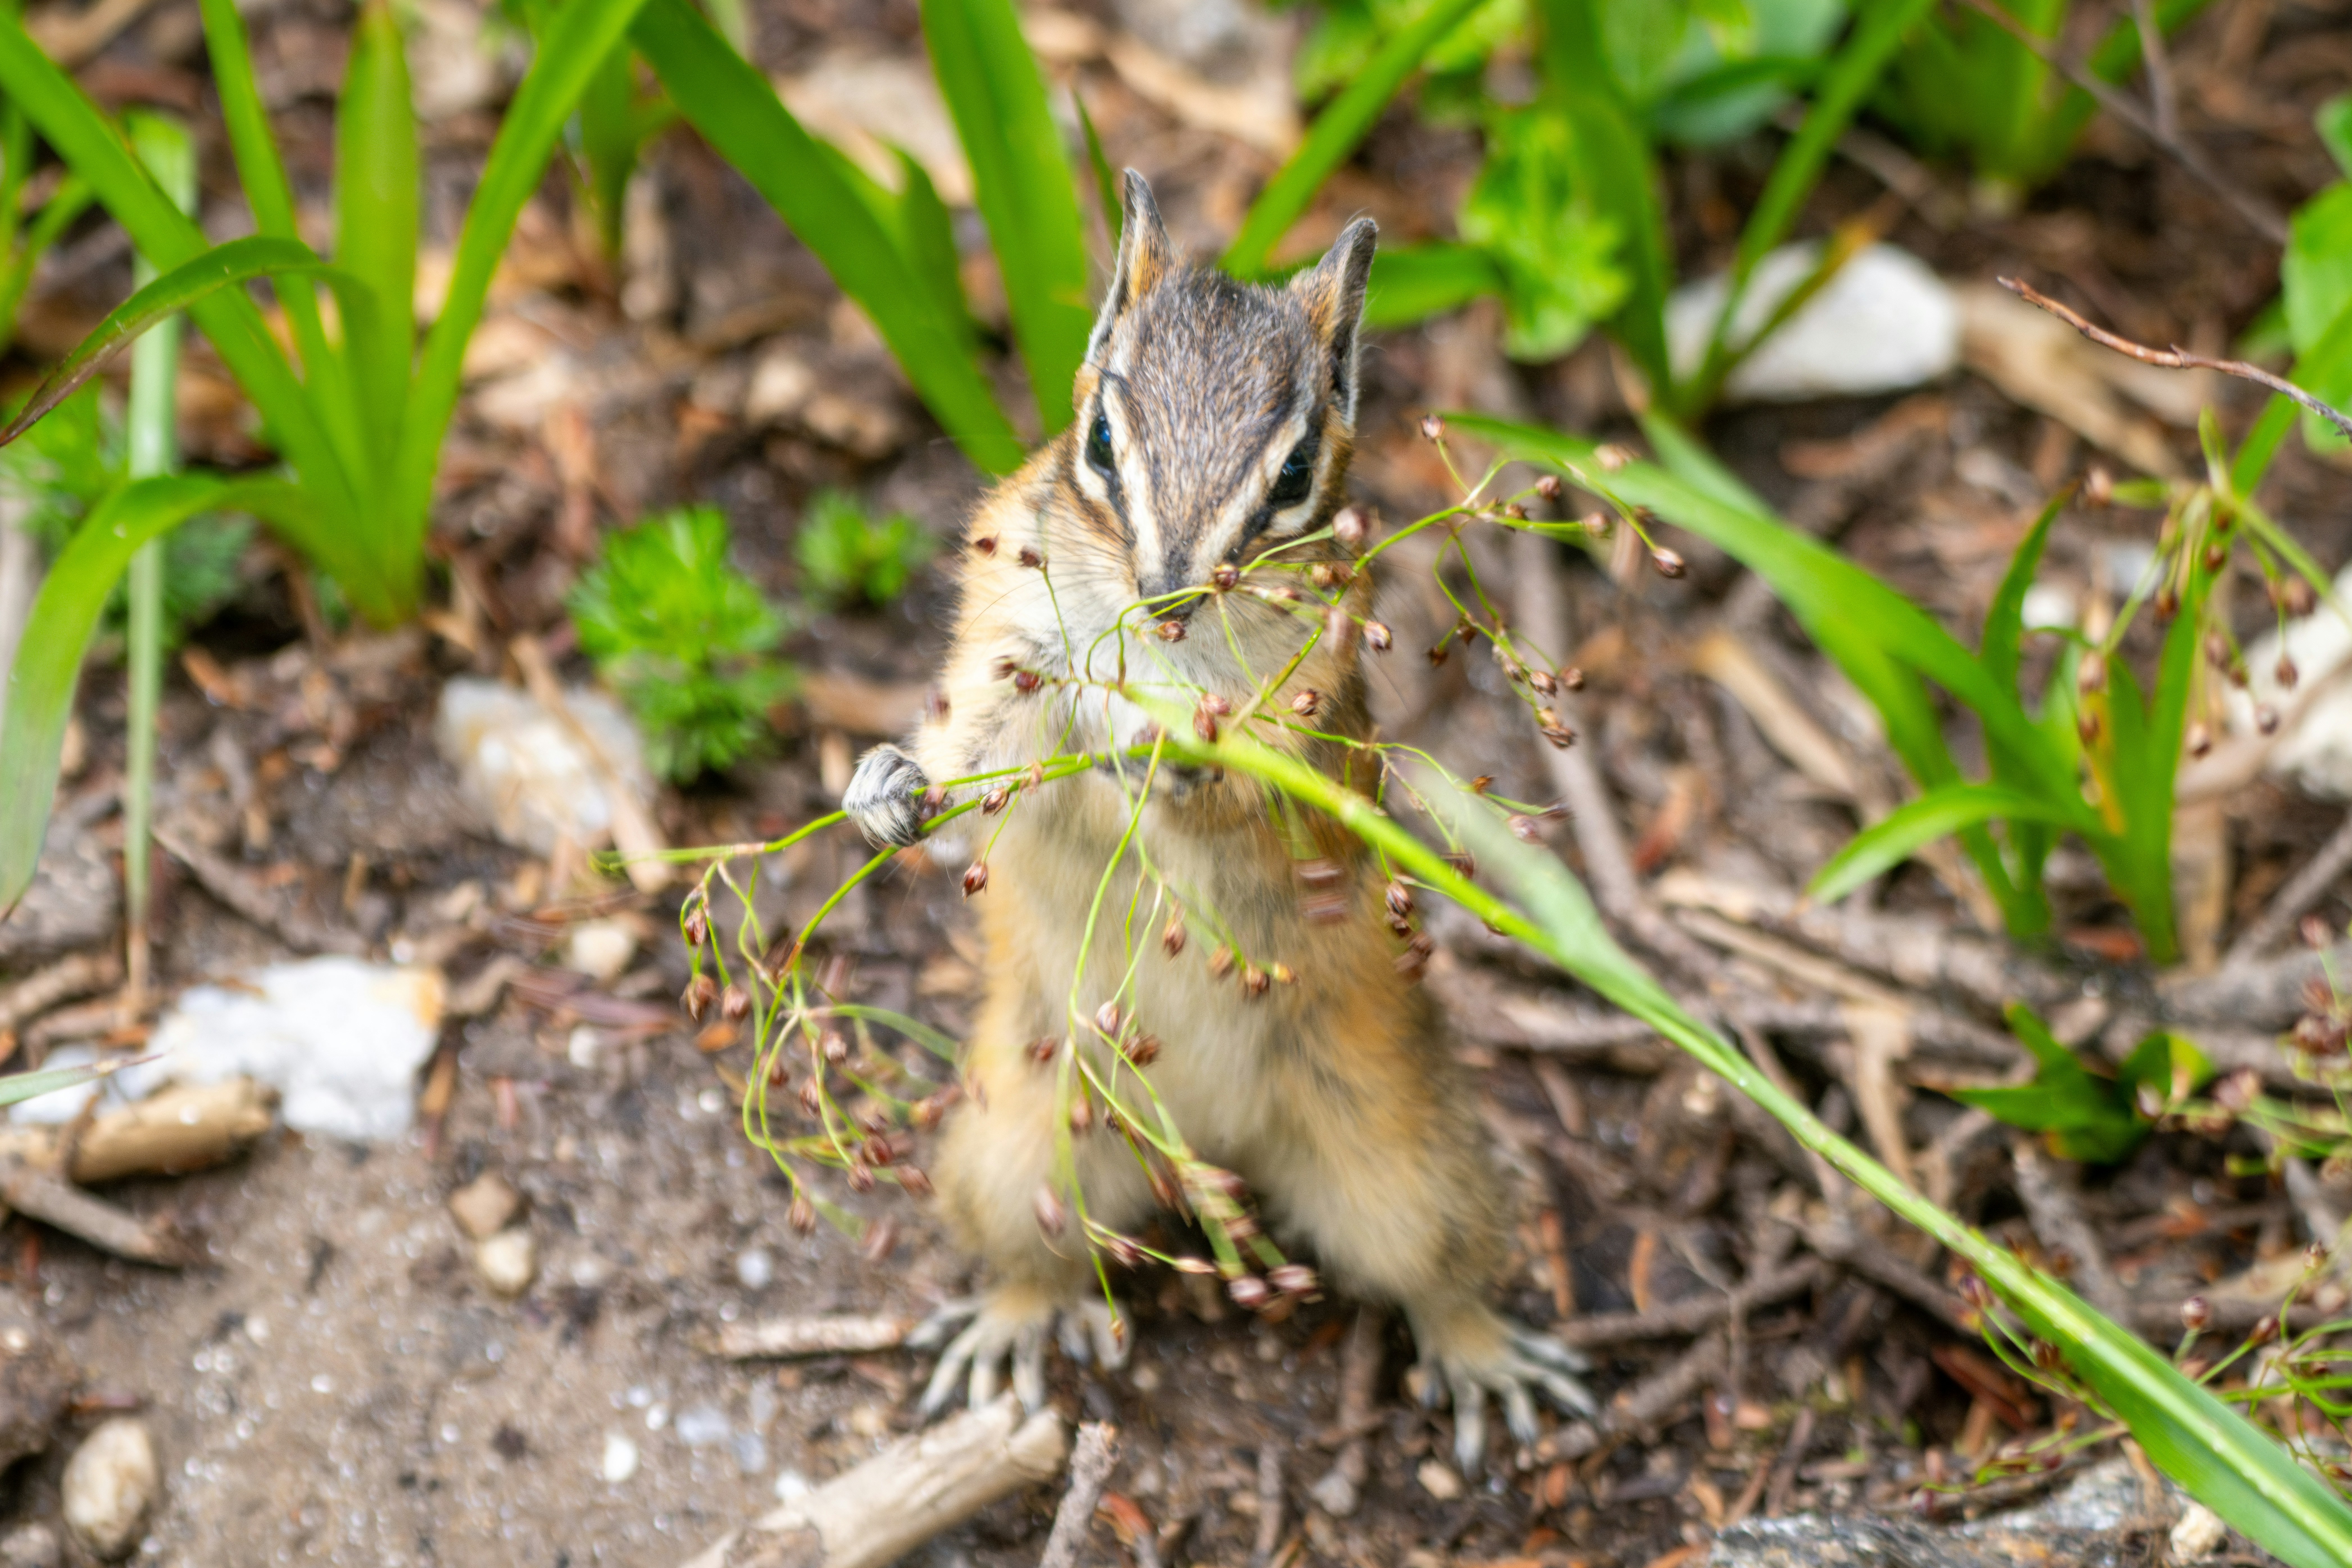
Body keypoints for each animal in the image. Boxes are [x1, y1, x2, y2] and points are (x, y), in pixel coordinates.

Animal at [842, 171, 1592, 1470]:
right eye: (1100, 441)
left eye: (1290, 480)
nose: (1170, 590)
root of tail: (1215, 1136)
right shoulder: (1003, 656)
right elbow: (972, 766)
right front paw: (885, 785)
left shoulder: (1308, 720)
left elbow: (1262, 806)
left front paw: (1181, 761)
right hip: (1015, 1142)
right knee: (1038, 1252)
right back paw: (1010, 1322)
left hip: (1405, 1162)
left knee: (1440, 1266)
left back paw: (1485, 1353)